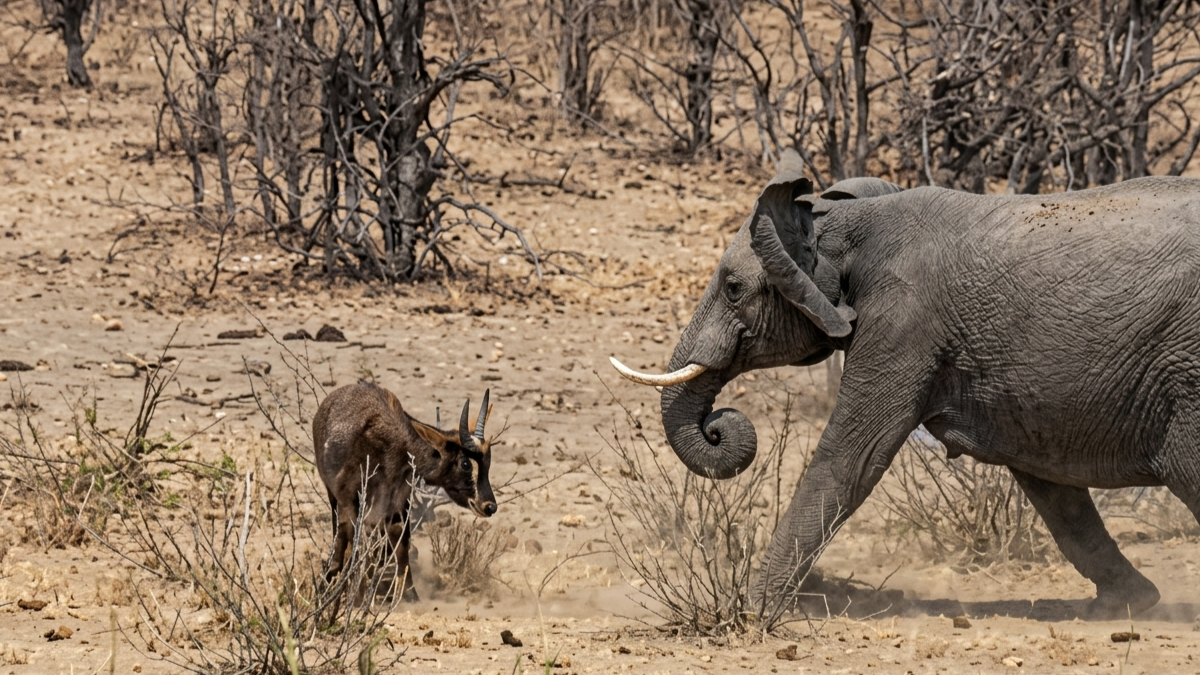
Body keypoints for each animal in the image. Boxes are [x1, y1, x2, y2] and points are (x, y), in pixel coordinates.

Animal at [313, 381, 496, 601]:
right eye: (466, 463)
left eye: (487, 462)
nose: (489, 506)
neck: (396, 447)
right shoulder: (350, 503)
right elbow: (353, 546)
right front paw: (353, 598)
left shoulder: (399, 505)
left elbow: (401, 546)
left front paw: (411, 597)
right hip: (337, 499)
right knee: (343, 540)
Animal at [610, 149, 1200, 618]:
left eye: (733, 288)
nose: (718, 426)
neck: (848, 217)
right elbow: (1048, 482)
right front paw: (1127, 605)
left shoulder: (905, 322)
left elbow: (851, 458)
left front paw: (753, 612)